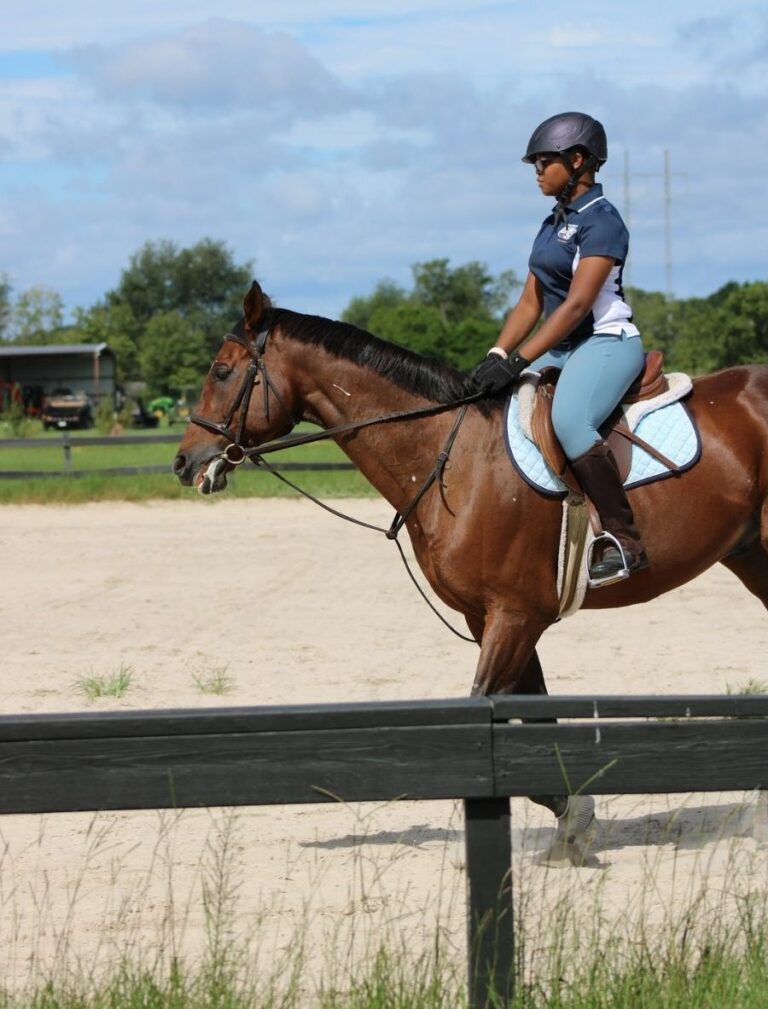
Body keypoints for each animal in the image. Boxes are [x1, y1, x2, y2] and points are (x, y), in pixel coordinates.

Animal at [174, 280, 768, 843]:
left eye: (221, 371)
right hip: (751, 558)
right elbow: (529, 712)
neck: (451, 455)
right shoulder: (492, 617)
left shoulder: (515, 615)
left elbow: (484, 707)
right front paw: (572, 817)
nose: (185, 462)